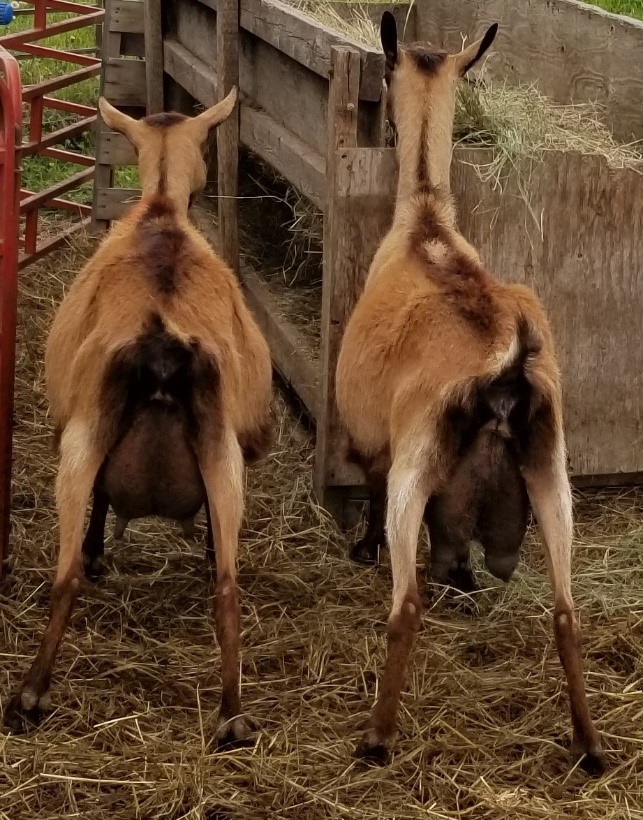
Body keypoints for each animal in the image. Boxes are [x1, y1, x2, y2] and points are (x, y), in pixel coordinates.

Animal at [3, 89, 273, 748]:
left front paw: (101, 550)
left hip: (81, 440)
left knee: (66, 574)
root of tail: (161, 338)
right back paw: (233, 717)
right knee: (227, 586)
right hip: (222, 455)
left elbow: (102, 501)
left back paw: (28, 696)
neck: (161, 213)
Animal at [335, 13, 605, 774]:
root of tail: (505, 369)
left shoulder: (376, 441)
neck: (426, 226)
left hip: (419, 465)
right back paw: (589, 746)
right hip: (551, 472)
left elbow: (368, 489)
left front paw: (361, 548)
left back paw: (376, 738)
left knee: (405, 607)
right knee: (567, 612)